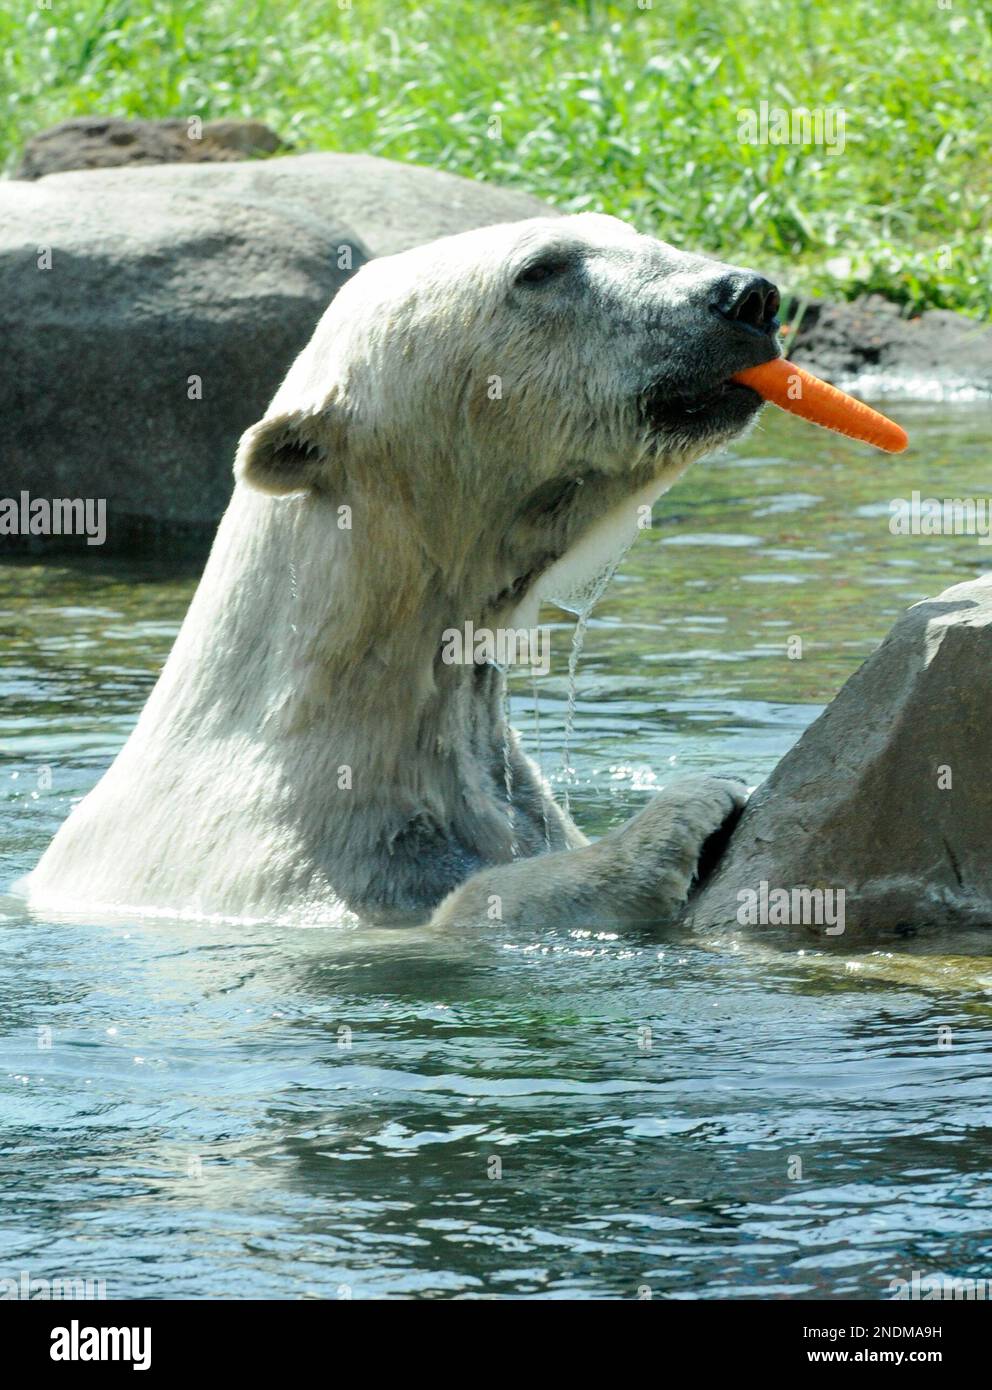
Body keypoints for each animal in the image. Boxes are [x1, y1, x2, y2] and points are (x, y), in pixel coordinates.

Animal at [27, 212, 781, 928]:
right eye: (540, 268)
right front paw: (676, 817)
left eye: (629, 232)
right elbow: (463, 911)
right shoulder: (277, 866)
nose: (748, 297)